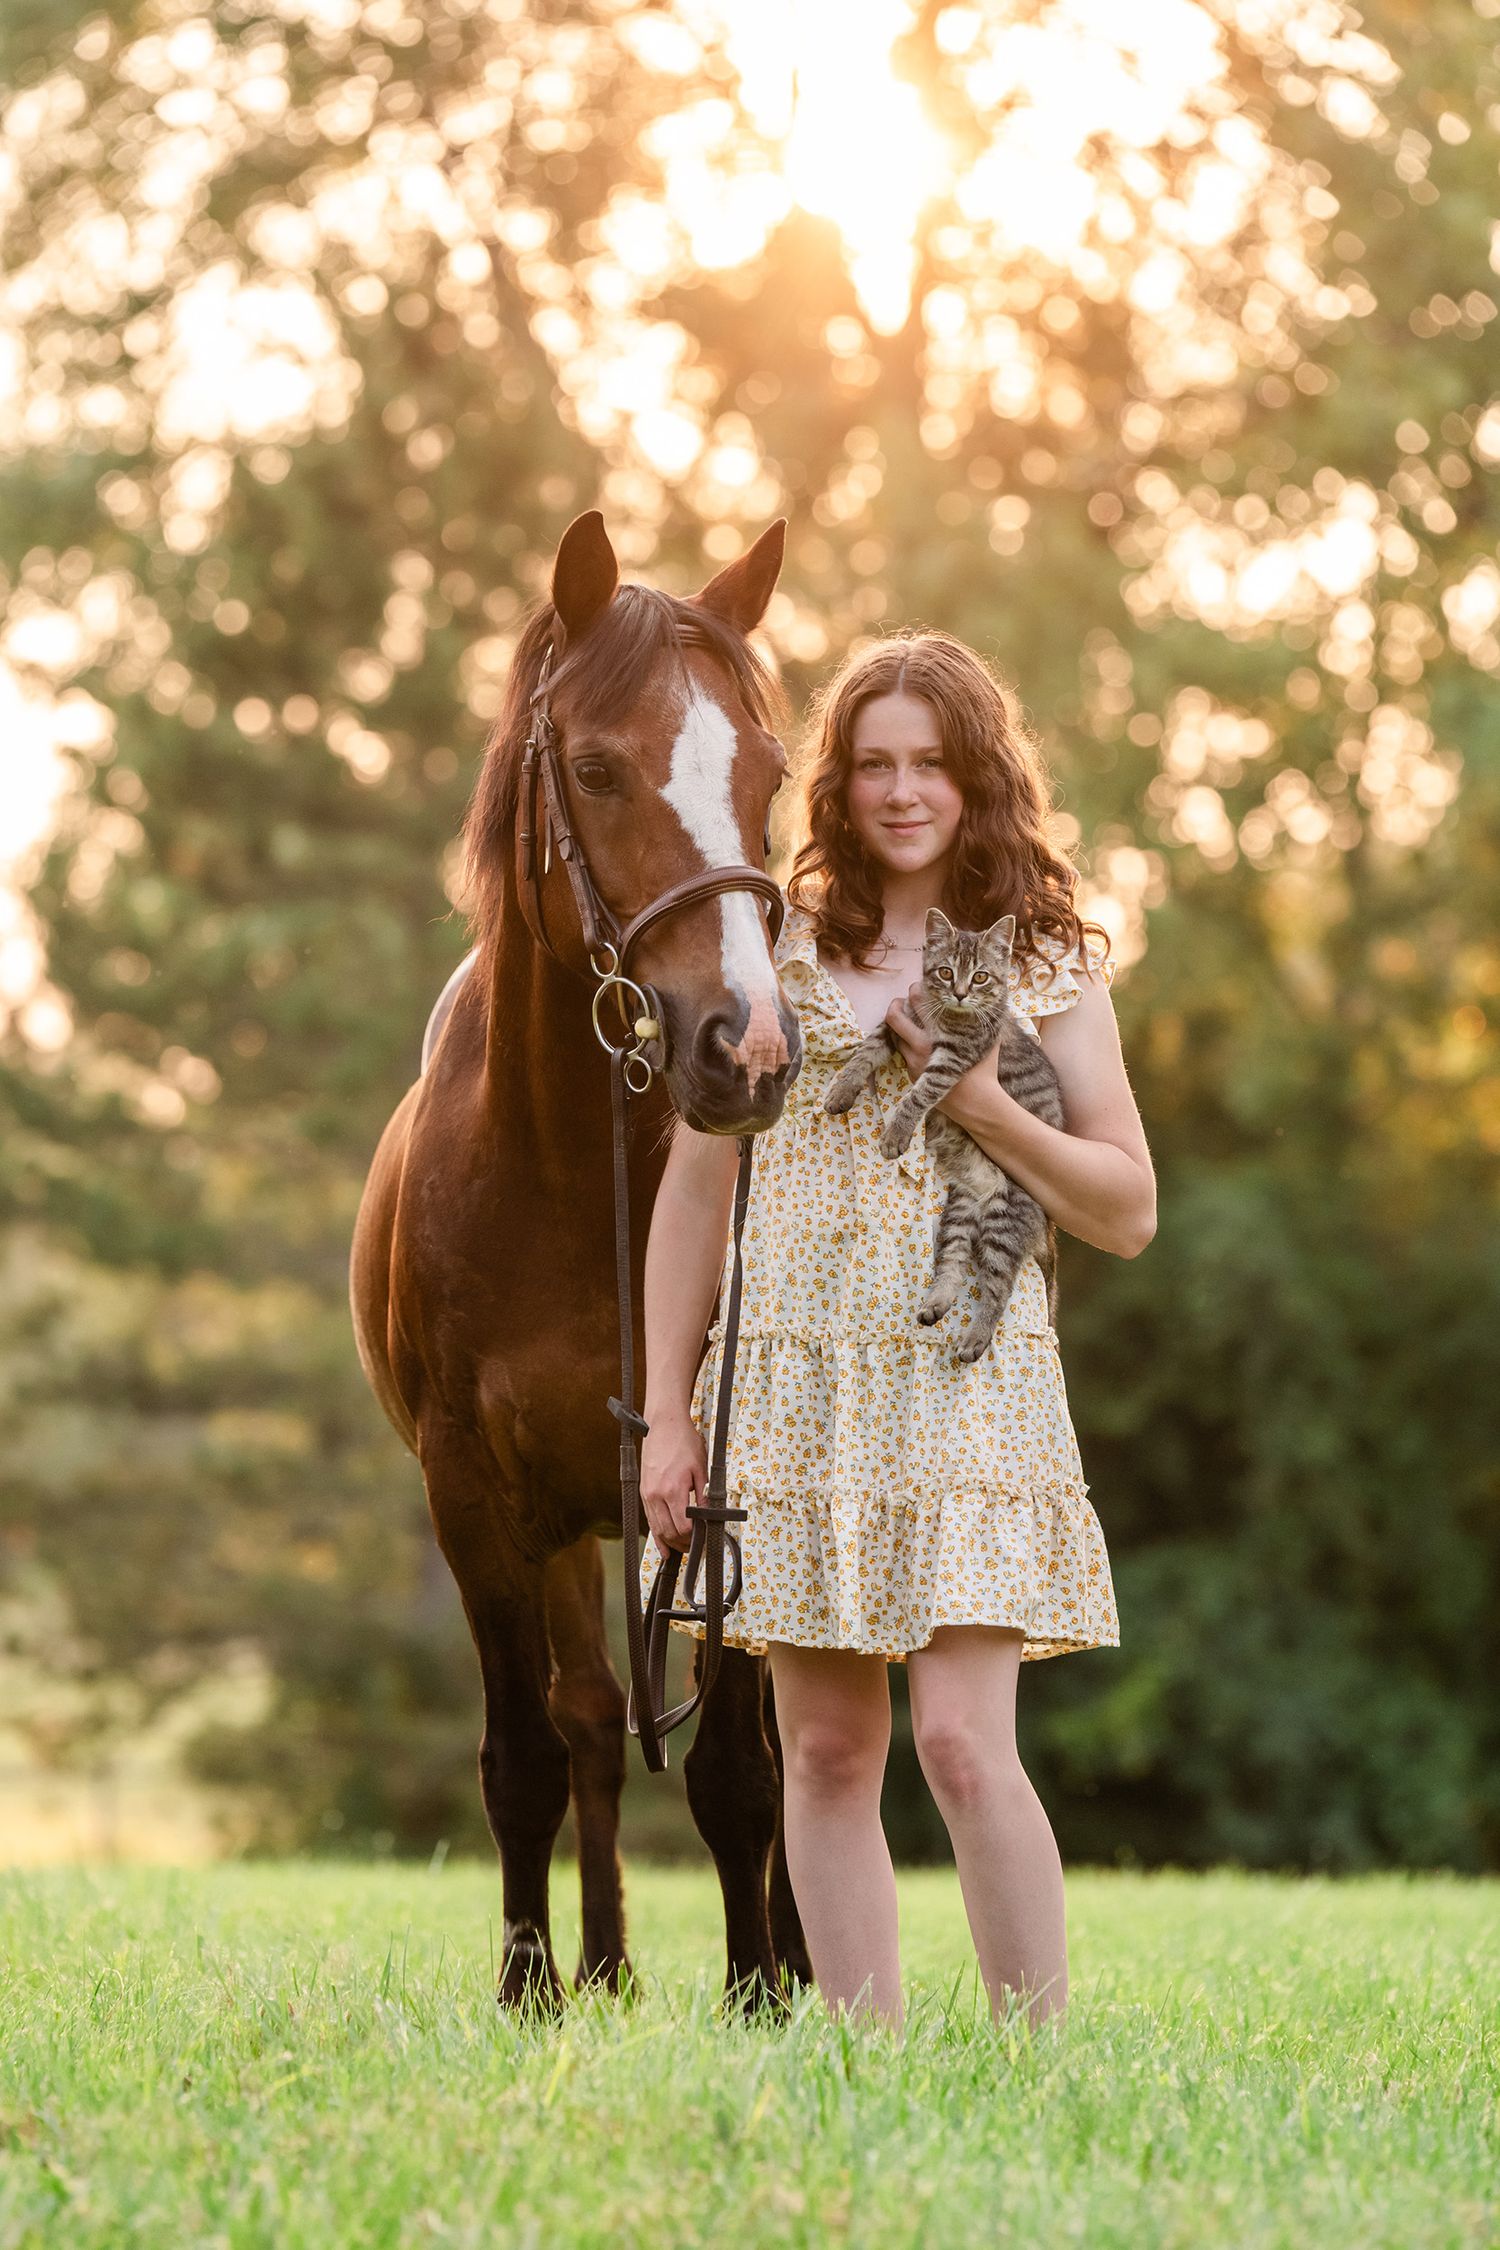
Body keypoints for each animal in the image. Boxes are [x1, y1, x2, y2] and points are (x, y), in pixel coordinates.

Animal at [350, 510, 811, 2007]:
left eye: (772, 771)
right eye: (600, 767)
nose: (747, 1048)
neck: (562, 1171)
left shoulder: (723, 1490)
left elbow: (741, 1774)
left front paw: (761, 1995)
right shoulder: (477, 1501)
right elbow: (530, 1758)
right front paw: (532, 1990)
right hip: (563, 1532)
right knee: (597, 1722)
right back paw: (605, 1970)